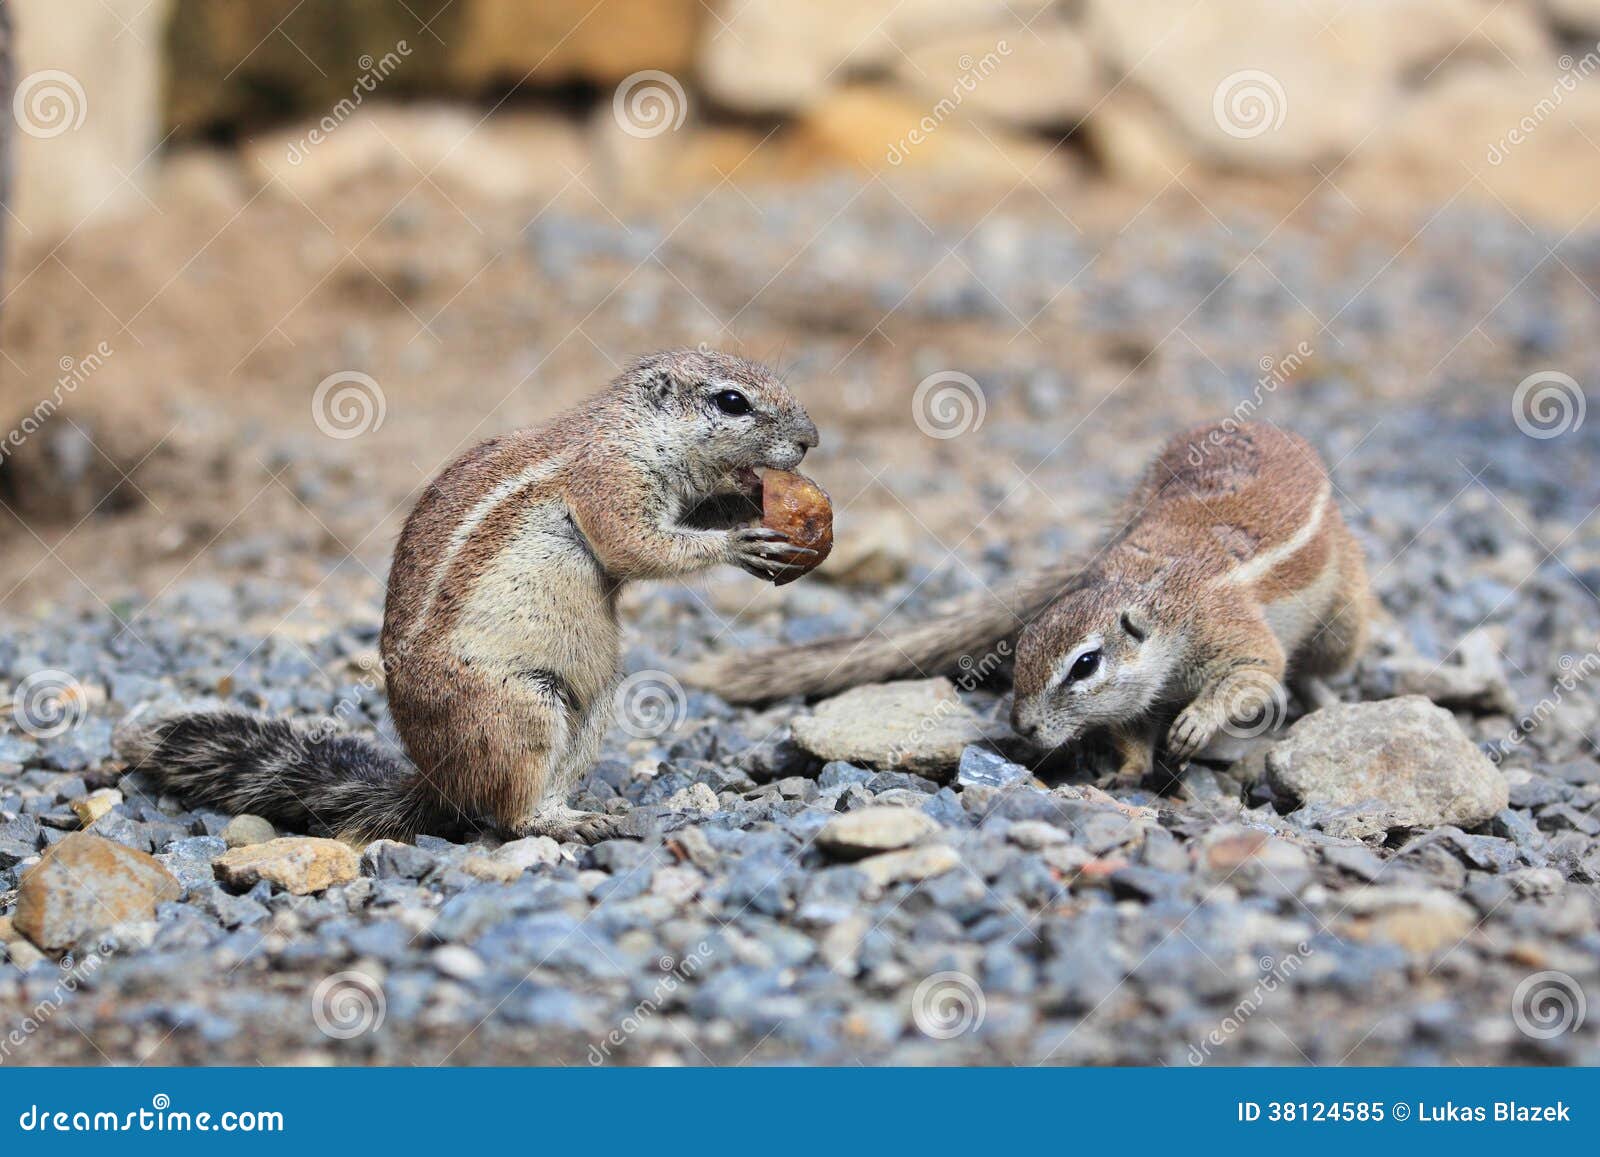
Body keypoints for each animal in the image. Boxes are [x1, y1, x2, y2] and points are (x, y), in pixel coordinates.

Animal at [120, 349, 820, 844]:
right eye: (732, 401)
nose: (811, 439)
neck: (630, 430)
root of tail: (435, 783)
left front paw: (751, 503)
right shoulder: (607, 482)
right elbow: (636, 546)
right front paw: (740, 542)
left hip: (589, 709)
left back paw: (580, 813)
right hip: (516, 710)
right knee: (506, 813)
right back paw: (554, 824)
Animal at [688, 421, 1369, 774]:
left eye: (1086, 664)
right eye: (1022, 648)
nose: (1021, 726)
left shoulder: (1228, 631)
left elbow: (1256, 672)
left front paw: (1195, 724)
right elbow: (1130, 726)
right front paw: (1129, 767)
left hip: (1345, 613)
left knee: (1326, 657)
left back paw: (1326, 693)